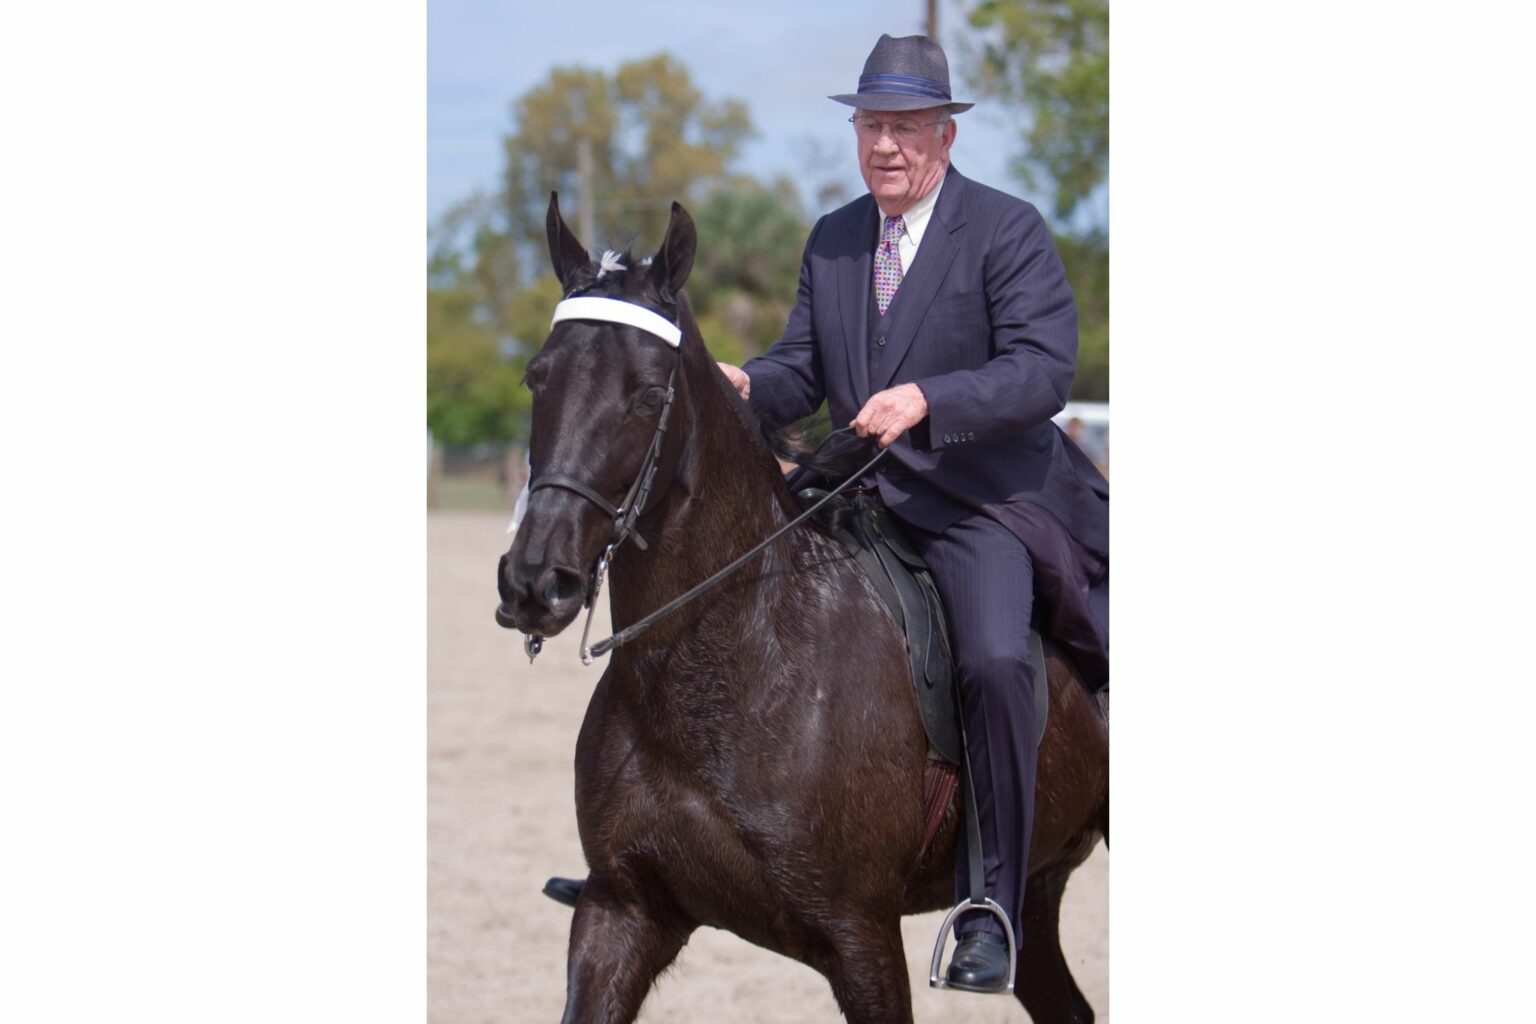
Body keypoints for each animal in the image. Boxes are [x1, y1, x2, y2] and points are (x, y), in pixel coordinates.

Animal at [496, 194, 1109, 1024]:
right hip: (1040, 889)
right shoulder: (622, 910)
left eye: (650, 394)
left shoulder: (860, 938)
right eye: (538, 378)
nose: (535, 580)